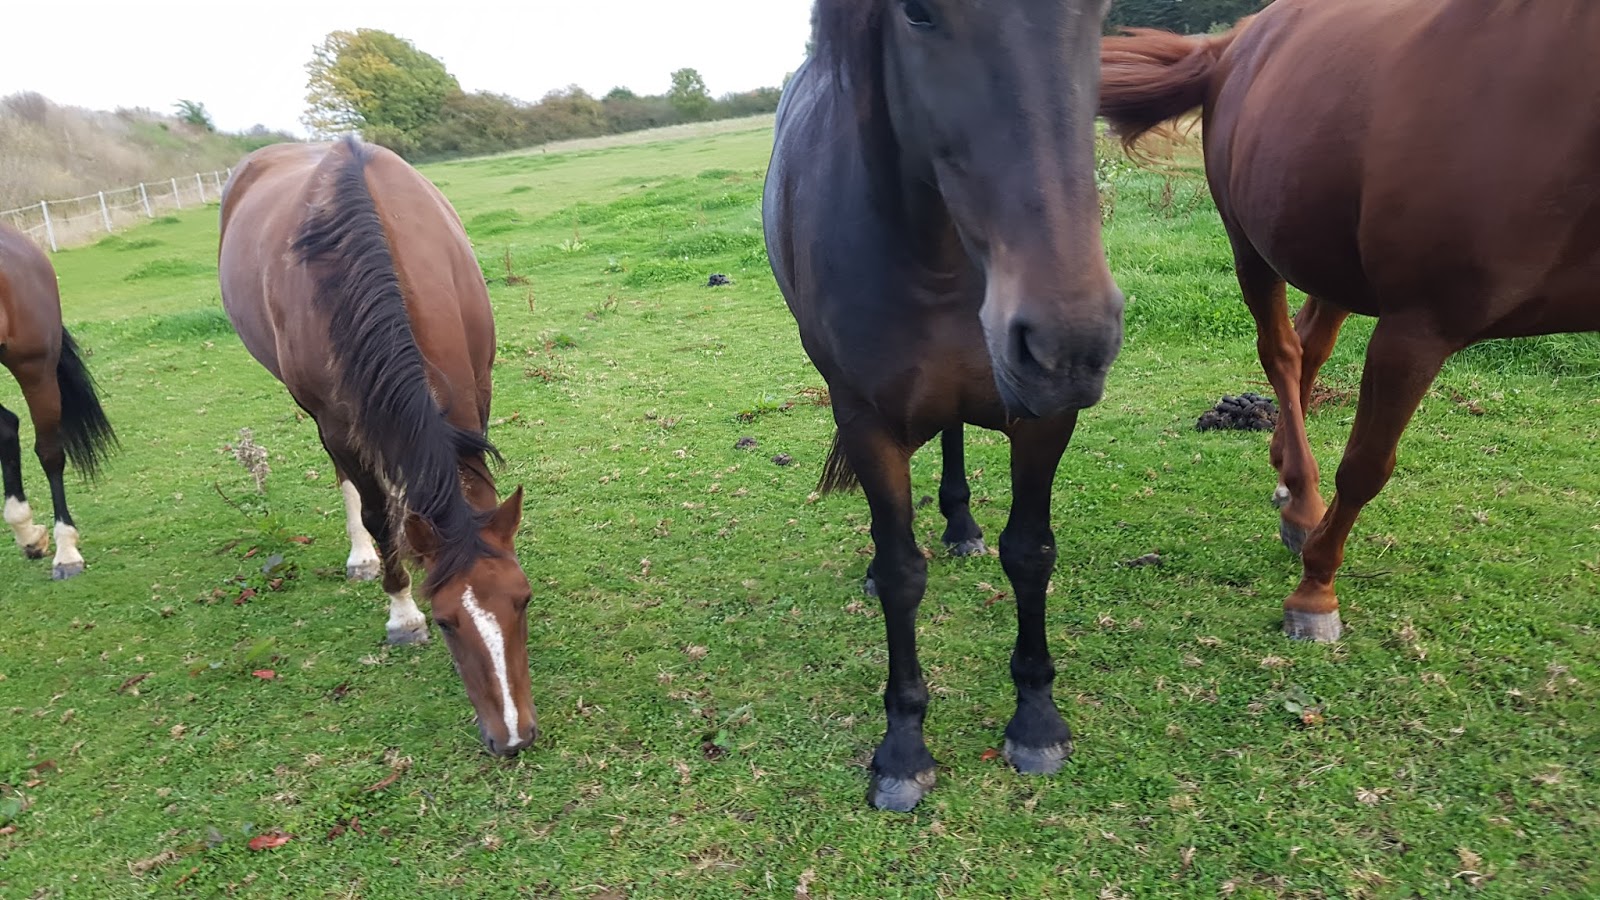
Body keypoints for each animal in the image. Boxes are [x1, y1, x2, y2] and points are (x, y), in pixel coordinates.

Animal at [217, 136, 537, 756]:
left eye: (523, 599)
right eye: (445, 621)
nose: (512, 737)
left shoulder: (479, 386)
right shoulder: (338, 421)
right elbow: (374, 510)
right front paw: (401, 613)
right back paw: (363, 556)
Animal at [763, 0, 1123, 811]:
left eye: (1101, 10)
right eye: (918, 13)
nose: (1071, 343)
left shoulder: (1046, 417)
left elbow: (1031, 552)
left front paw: (1036, 720)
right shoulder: (866, 421)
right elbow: (902, 574)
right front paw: (902, 748)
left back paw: (960, 525)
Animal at [1099, 0, 1600, 642]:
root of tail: (1234, 42)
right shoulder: (1415, 328)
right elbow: (1366, 466)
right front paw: (1315, 591)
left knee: (1308, 347)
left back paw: (1290, 487)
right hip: (1251, 249)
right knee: (1282, 352)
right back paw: (1302, 502)